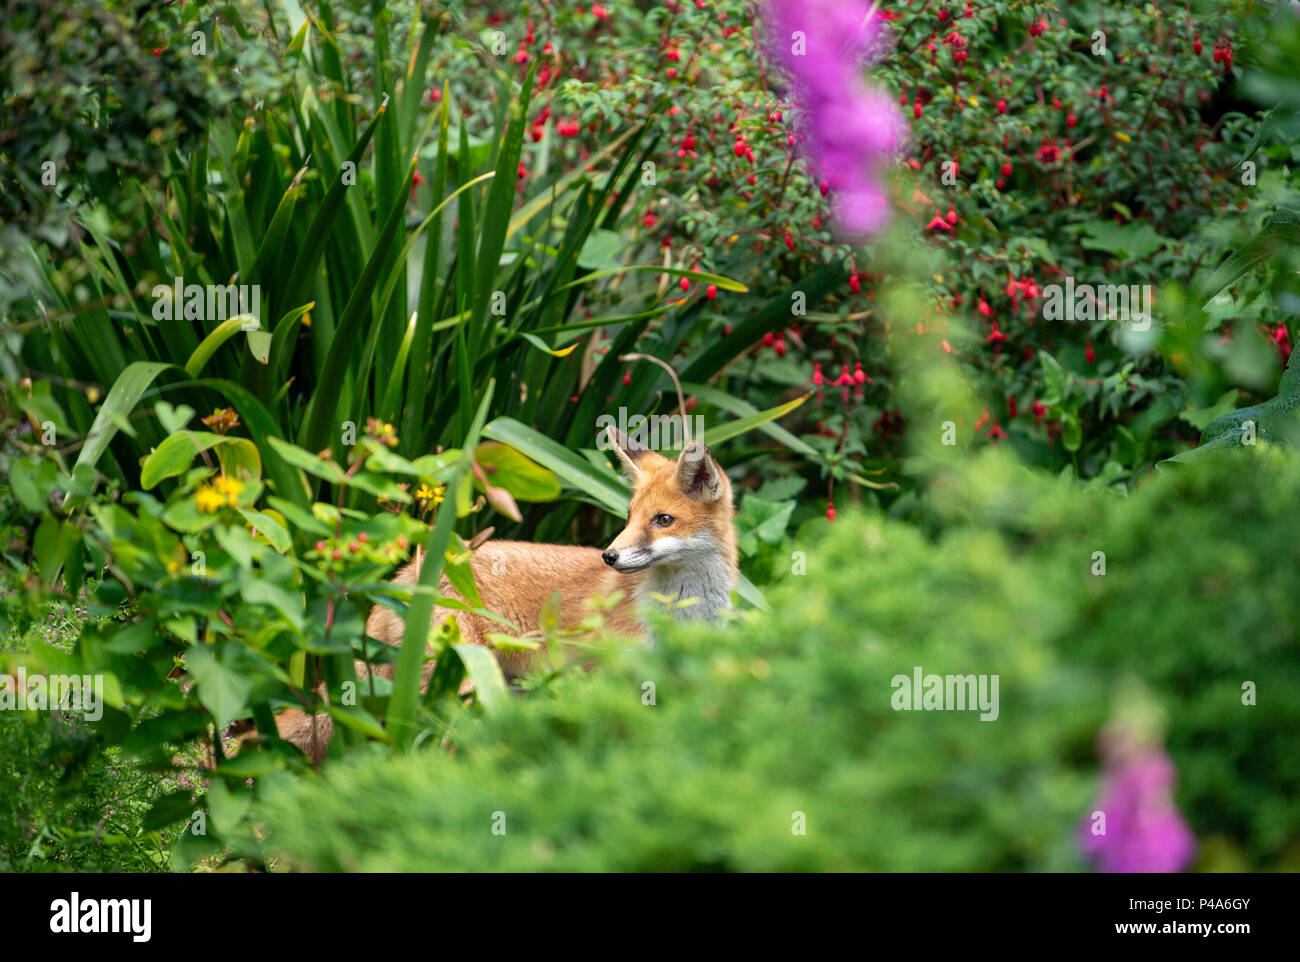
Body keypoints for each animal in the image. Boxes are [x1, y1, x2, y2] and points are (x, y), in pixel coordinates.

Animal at [273, 428, 737, 763]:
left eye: (663, 520)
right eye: (628, 517)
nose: (609, 556)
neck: (681, 614)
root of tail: (400, 578)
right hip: (458, 687)